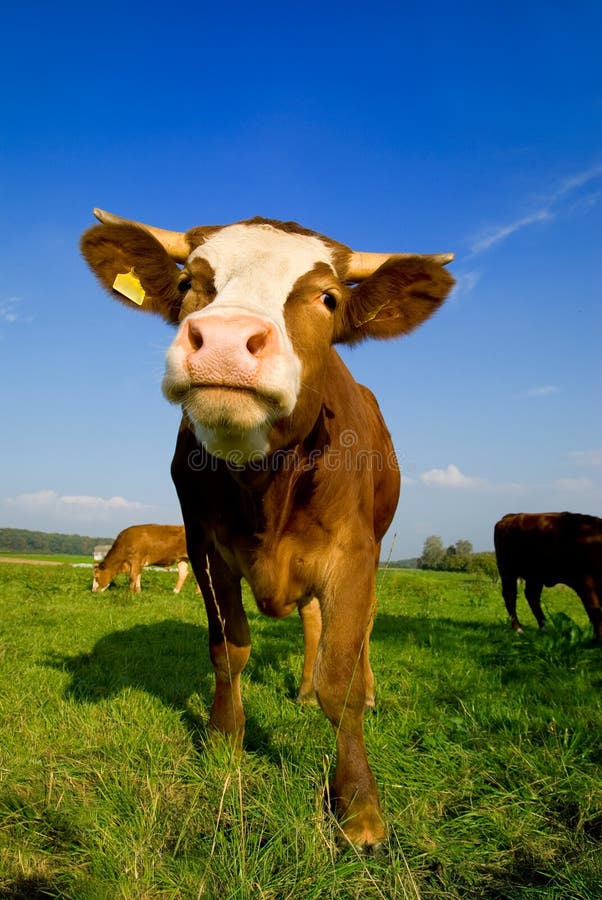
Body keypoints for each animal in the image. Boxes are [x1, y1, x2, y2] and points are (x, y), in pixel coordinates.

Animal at [81, 209, 454, 847]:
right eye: (189, 283)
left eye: (328, 297)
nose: (226, 340)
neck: (264, 487)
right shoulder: (205, 548)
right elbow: (228, 649)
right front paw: (224, 740)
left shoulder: (353, 554)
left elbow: (340, 677)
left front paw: (359, 806)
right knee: (310, 620)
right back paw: (299, 690)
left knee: (361, 631)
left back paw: (363, 692)